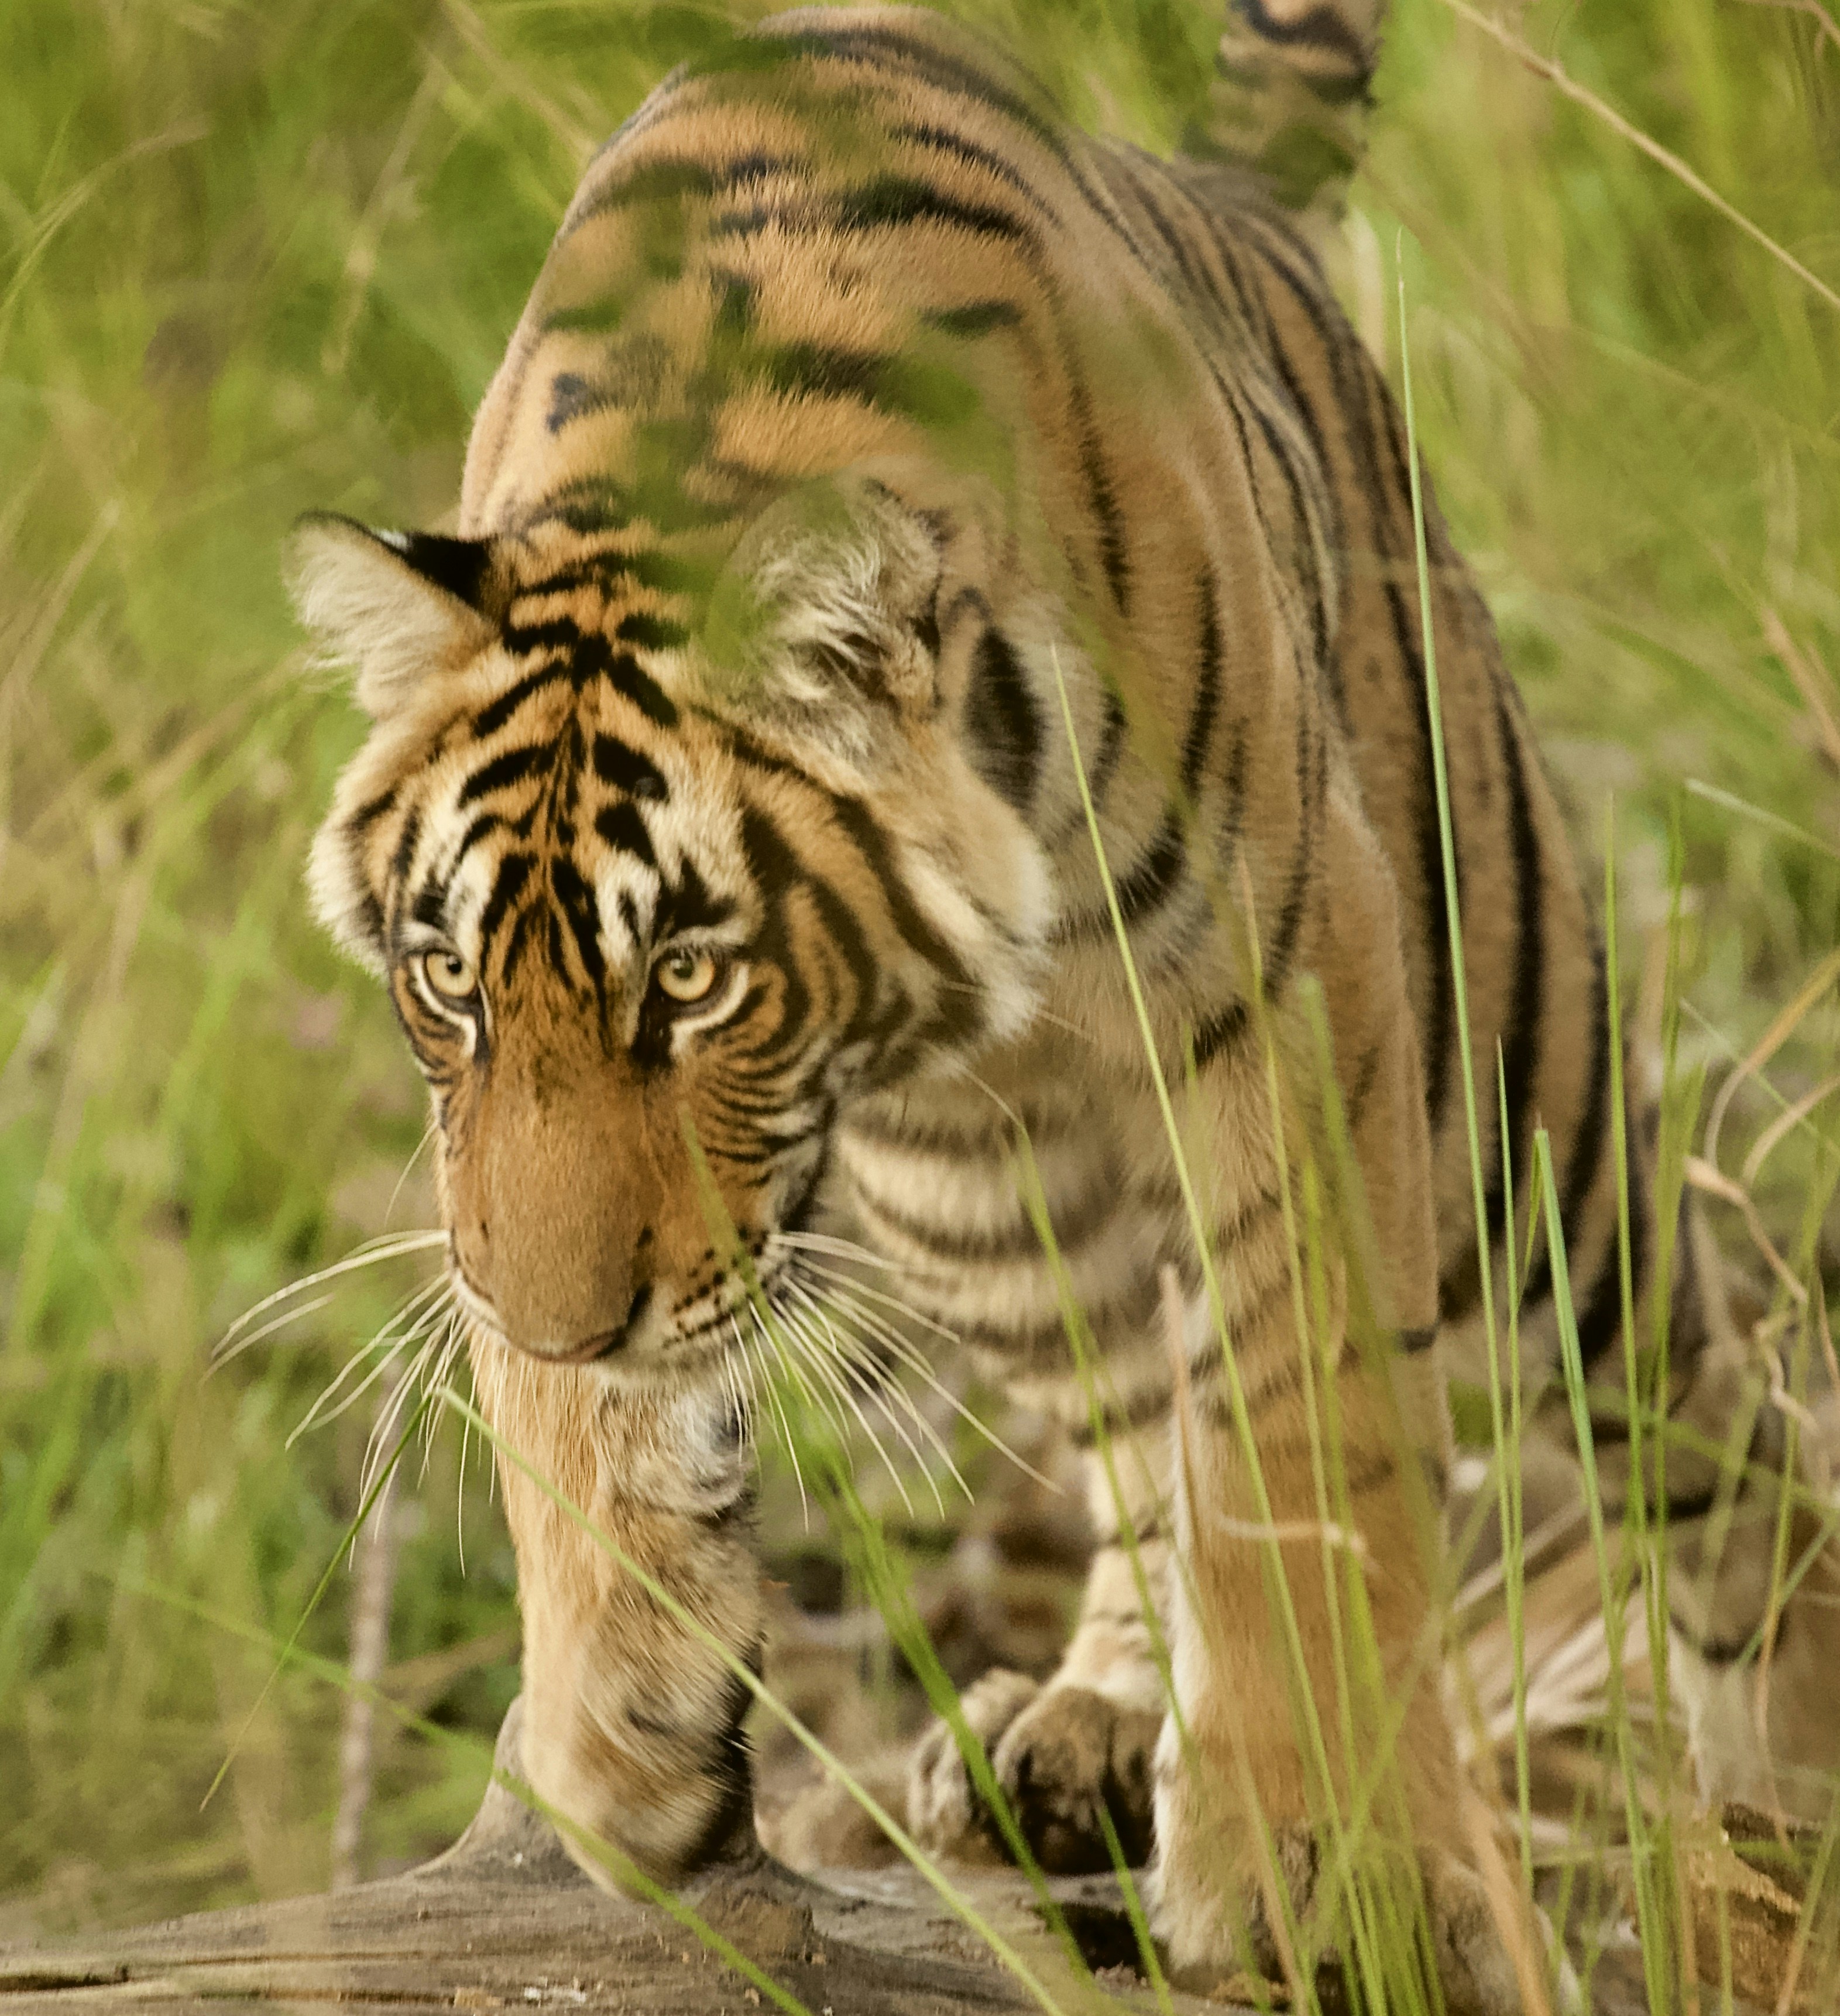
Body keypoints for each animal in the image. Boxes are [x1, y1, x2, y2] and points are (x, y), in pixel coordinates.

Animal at [290, 2, 1839, 2005]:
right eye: (448, 981)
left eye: (693, 975)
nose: (567, 1324)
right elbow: (588, 1456)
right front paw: (606, 1763)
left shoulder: (1300, 974)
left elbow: (1293, 1429)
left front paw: (1312, 1858)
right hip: (982, 1208)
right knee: (1131, 1411)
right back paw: (1094, 1723)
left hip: (1520, 1098)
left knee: (1708, 1414)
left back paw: (1786, 1759)